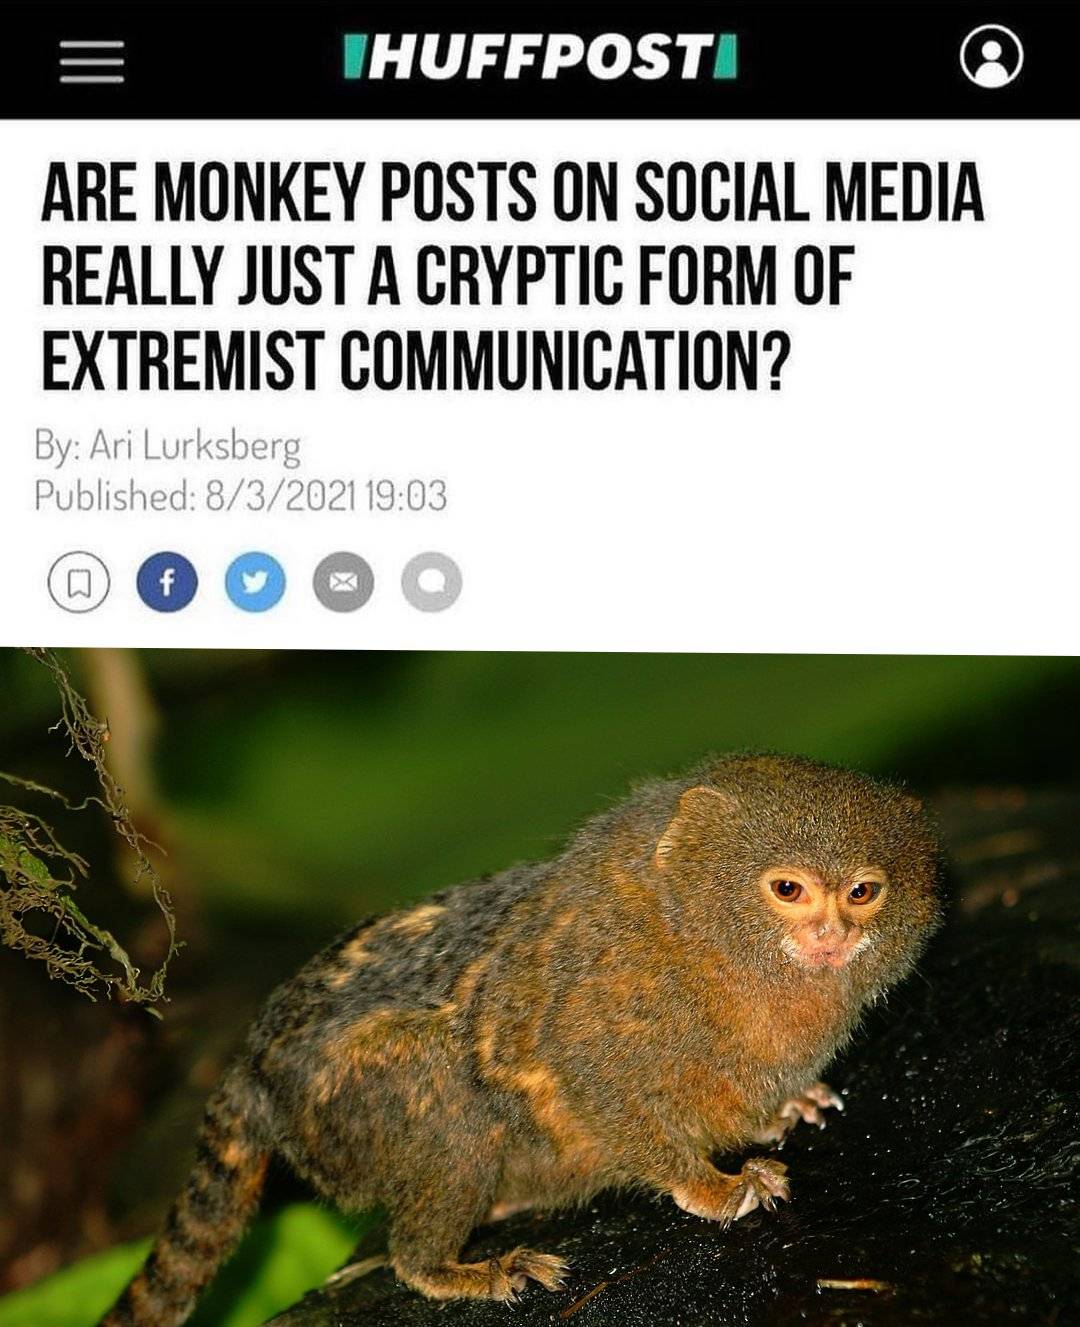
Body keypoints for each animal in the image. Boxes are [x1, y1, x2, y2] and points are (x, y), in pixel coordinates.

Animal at [100, 752, 942, 1325]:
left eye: (863, 891)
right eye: (788, 888)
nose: (833, 934)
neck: (699, 938)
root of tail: (252, 1068)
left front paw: (782, 1107)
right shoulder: (610, 997)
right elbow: (595, 1082)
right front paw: (714, 1187)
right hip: (355, 1104)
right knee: (448, 1105)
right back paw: (446, 1265)